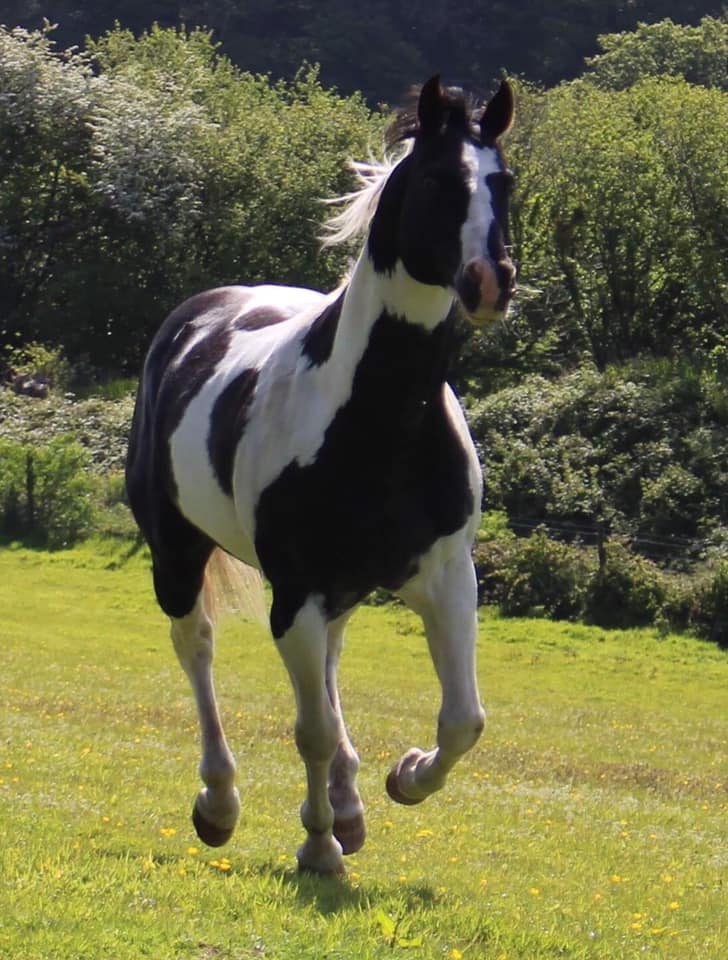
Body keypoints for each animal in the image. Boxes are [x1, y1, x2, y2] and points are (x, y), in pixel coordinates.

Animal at [125, 75, 516, 876]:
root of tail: (197, 313)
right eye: (437, 180)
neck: (380, 416)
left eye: (507, 182)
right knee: (198, 649)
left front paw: (404, 778)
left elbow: (463, 720)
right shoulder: (296, 592)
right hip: (178, 555)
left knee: (330, 674)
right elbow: (310, 730)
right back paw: (220, 804)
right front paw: (317, 847)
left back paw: (349, 803)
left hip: (336, 593)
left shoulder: (445, 577)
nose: (492, 281)